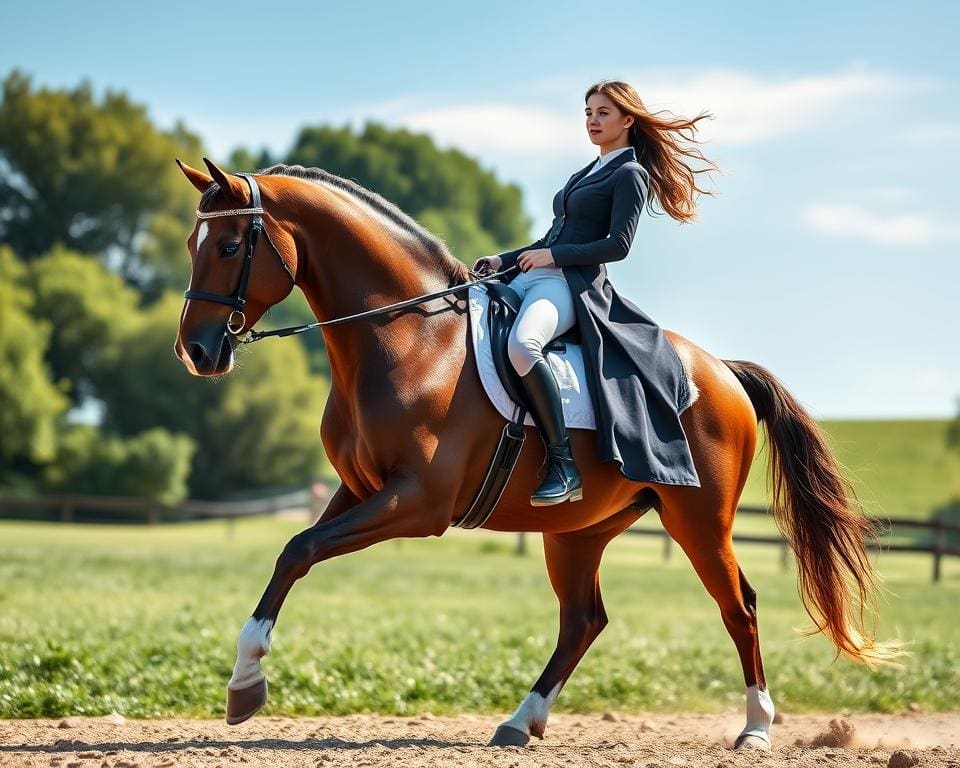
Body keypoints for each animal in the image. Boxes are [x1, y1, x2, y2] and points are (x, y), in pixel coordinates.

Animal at [173, 157, 900, 751]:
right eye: (191, 244)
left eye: (232, 245)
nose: (197, 352)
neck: (409, 339)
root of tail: (721, 371)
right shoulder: (361, 489)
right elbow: (291, 552)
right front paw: (243, 681)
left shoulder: (418, 503)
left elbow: (299, 548)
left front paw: (245, 684)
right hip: (578, 530)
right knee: (584, 620)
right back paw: (521, 721)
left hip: (698, 521)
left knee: (738, 608)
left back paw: (755, 729)